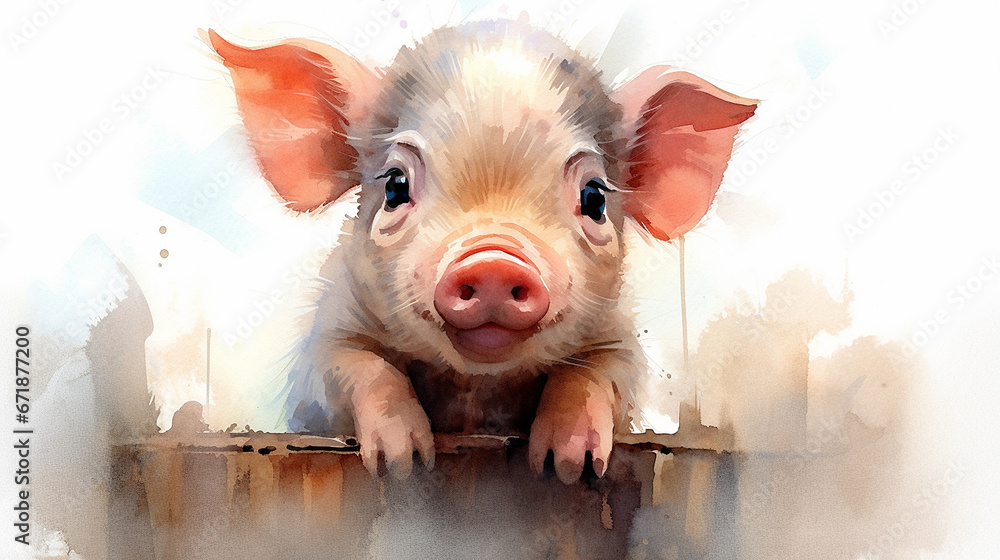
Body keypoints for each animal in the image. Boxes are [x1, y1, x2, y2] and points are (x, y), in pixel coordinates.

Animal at [207, 19, 755, 483]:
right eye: (395, 186)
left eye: (595, 199)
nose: (494, 260)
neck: (477, 389)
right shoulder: (329, 332)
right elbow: (356, 366)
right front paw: (404, 462)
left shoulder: (619, 339)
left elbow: (598, 377)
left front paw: (568, 466)